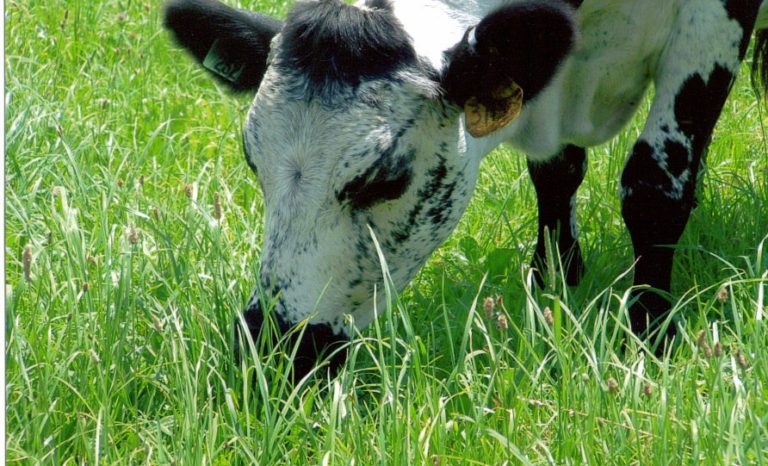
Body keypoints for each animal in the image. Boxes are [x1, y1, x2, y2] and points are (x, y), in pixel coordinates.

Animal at [164, 0, 768, 380]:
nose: (273, 345)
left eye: (386, 179)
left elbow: (653, 186)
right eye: (254, 163)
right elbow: (556, 170)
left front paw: (648, 333)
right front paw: (555, 277)